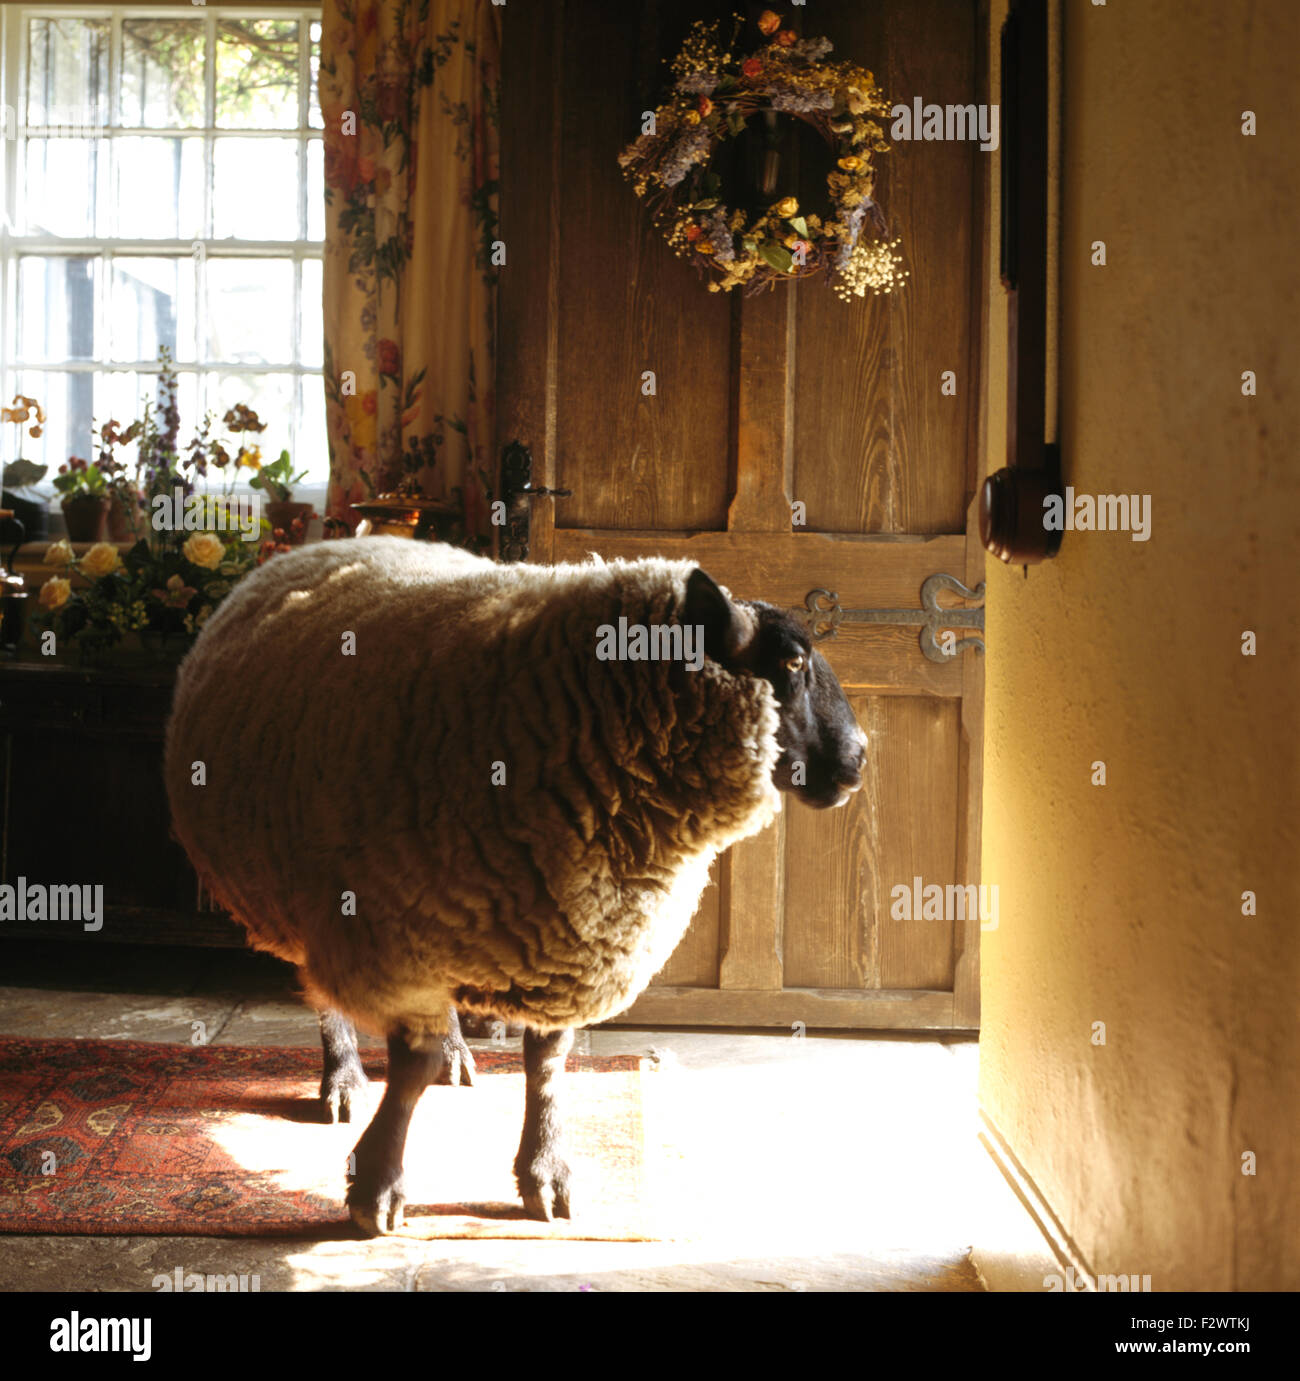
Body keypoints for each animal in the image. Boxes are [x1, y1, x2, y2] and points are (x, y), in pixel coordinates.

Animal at [165, 536, 867, 1235]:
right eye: (793, 660)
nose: (860, 757)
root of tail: (333, 540)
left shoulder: (565, 932)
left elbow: (548, 1061)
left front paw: (546, 1172)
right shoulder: (395, 927)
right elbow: (411, 1068)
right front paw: (378, 1185)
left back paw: (452, 1050)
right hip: (304, 893)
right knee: (322, 992)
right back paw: (343, 1077)